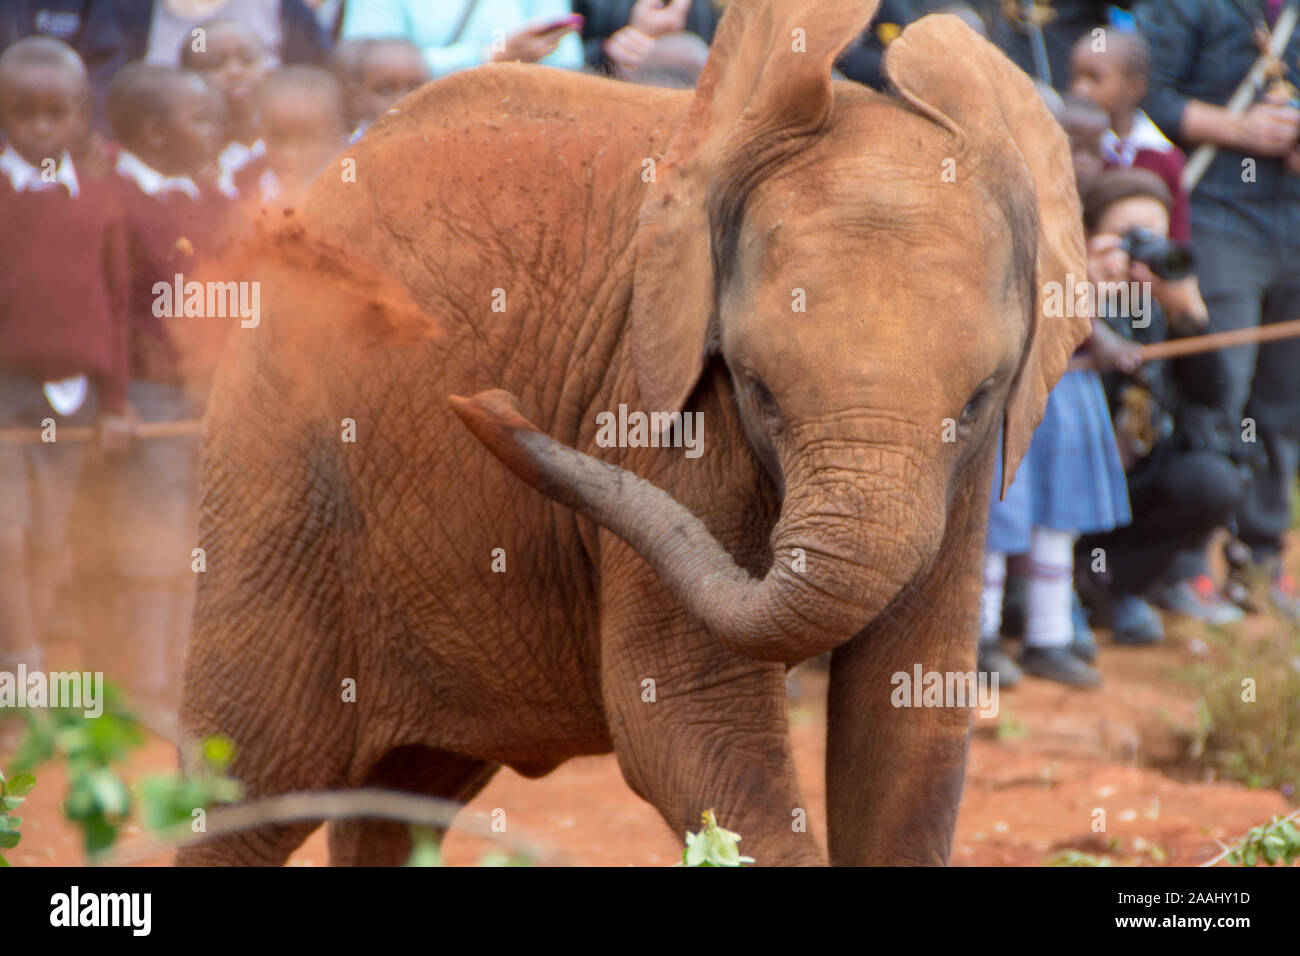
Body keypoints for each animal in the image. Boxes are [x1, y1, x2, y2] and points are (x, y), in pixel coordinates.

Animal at [178, 0, 1089, 866]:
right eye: (757, 391)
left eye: (977, 401)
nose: (489, 405)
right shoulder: (656, 396)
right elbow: (685, 717)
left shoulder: (967, 470)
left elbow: (909, 722)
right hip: (277, 459)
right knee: (247, 787)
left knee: (401, 802)